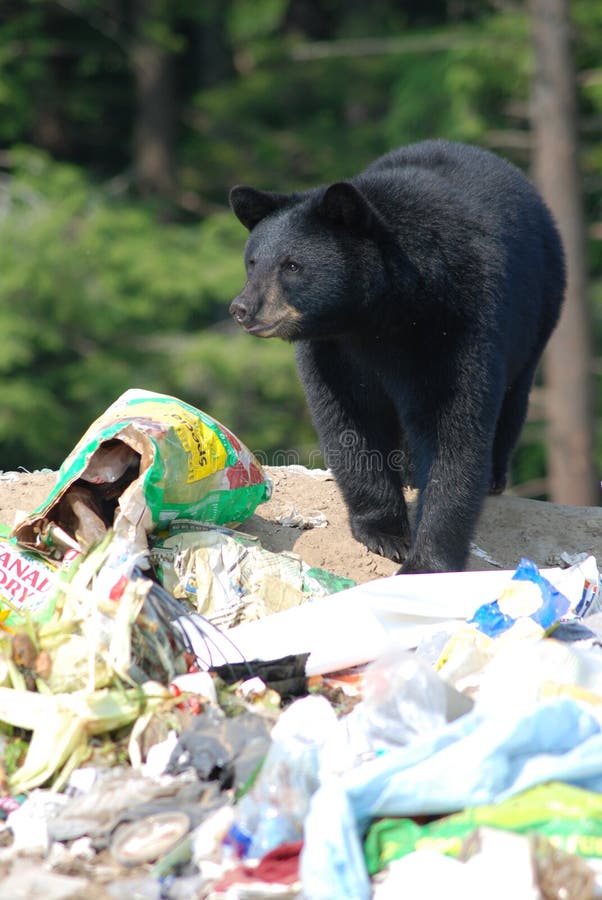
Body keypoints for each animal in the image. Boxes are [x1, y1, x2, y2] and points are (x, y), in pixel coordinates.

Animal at [228, 140, 565, 574]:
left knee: (514, 396)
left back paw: (493, 475)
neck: (377, 316)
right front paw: (386, 533)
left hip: (540, 310)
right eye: (252, 262)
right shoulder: (332, 351)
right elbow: (350, 422)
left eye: (292, 265)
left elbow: (452, 425)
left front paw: (427, 560)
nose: (242, 308)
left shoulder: (458, 324)